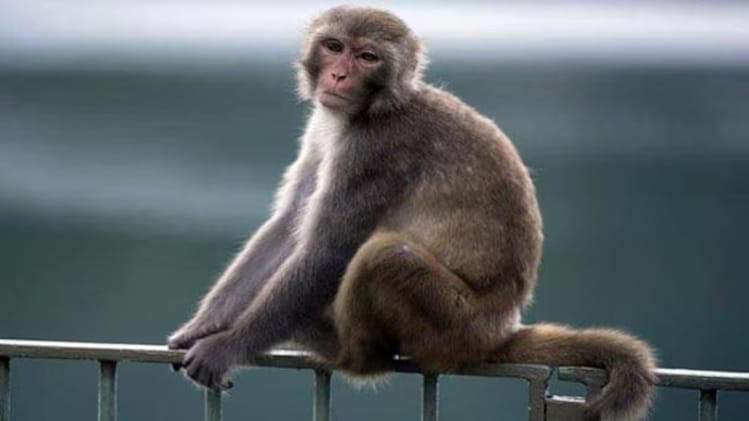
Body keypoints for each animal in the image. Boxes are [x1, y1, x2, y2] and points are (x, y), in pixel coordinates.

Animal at [168, 6, 656, 420]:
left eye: (367, 57)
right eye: (334, 46)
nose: (339, 74)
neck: (375, 108)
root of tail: (501, 329)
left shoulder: (374, 150)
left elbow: (327, 250)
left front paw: (227, 346)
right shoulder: (326, 127)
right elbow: (288, 227)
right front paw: (203, 325)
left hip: (455, 324)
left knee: (384, 257)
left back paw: (344, 350)